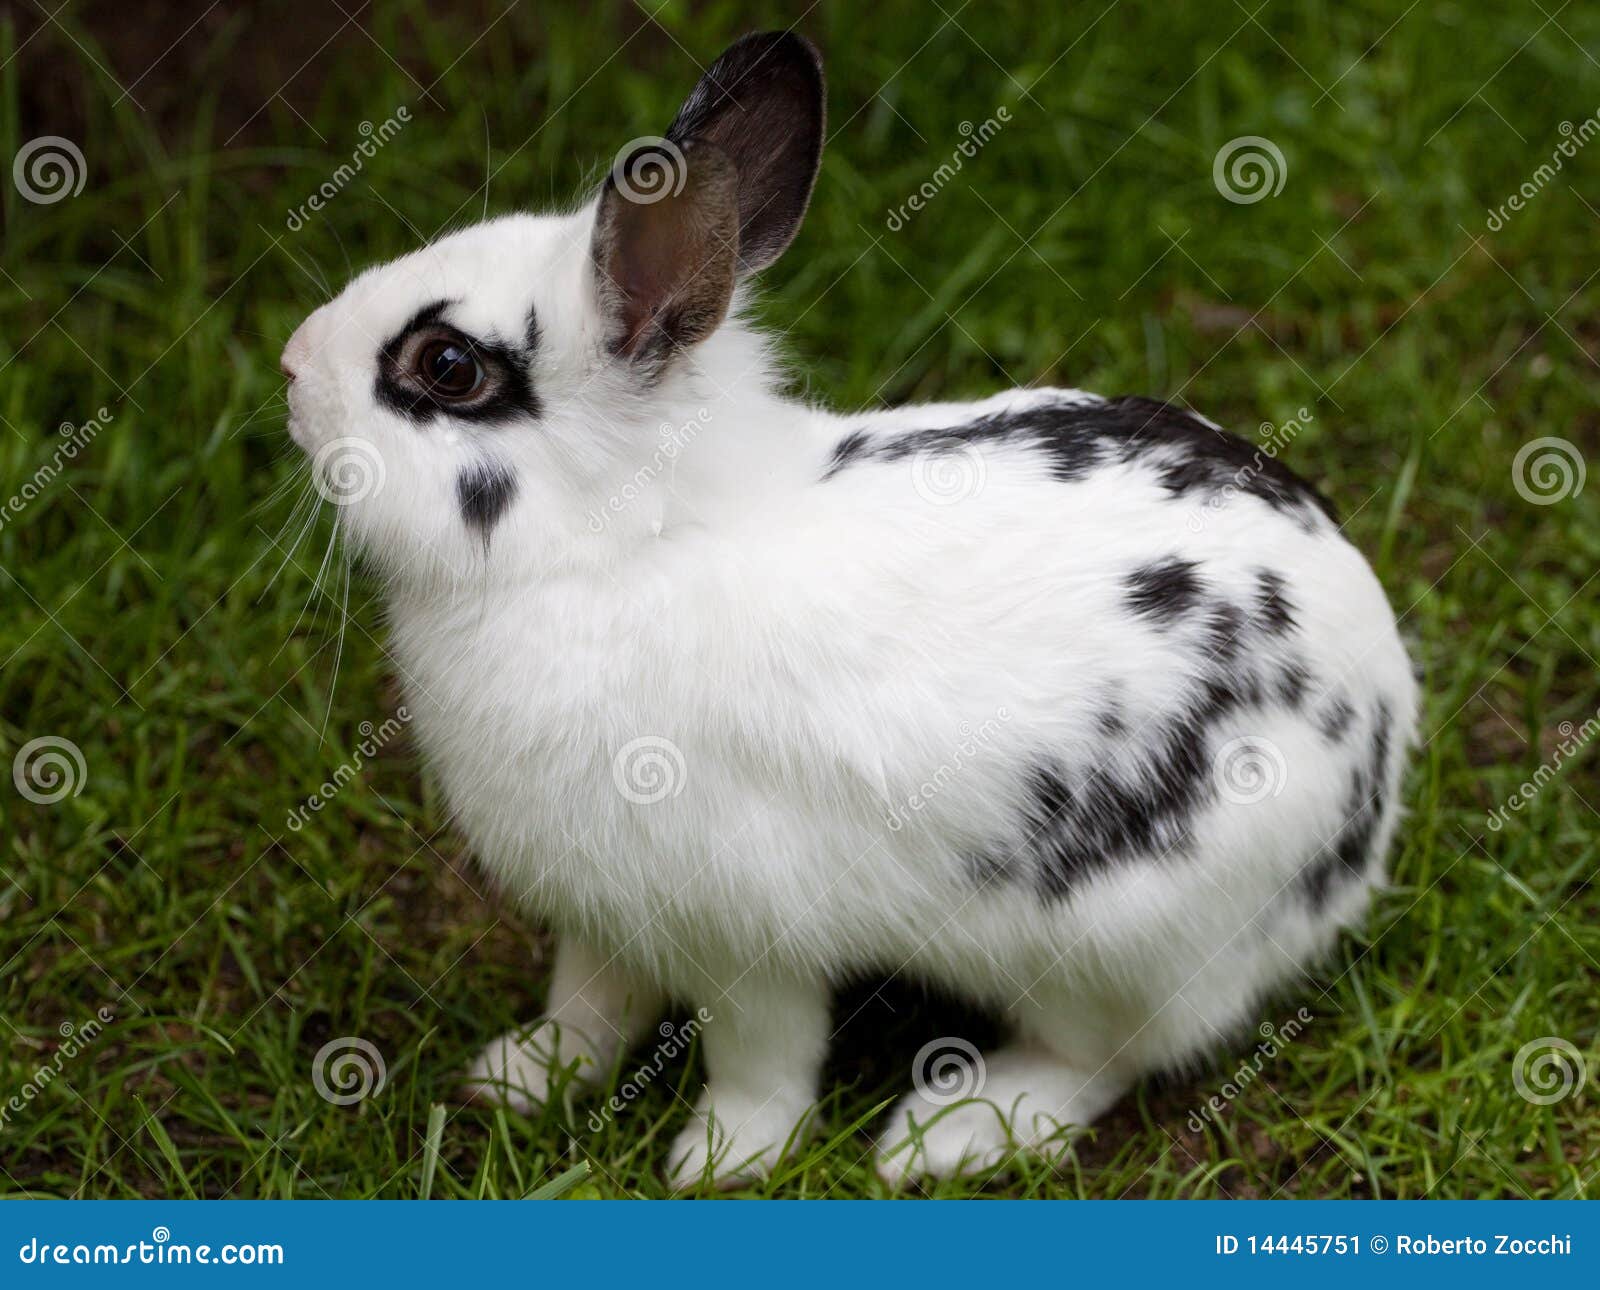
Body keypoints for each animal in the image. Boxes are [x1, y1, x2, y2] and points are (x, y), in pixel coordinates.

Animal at [280, 30, 1417, 1189]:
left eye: (445, 366)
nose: (291, 364)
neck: (625, 550)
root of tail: (1376, 780)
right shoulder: (607, 913)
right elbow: (590, 1003)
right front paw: (520, 1077)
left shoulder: (747, 936)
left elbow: (761, 1059)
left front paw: (720, 1161)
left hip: (1114, 945)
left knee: (1102, 1060)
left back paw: (947, 1132)